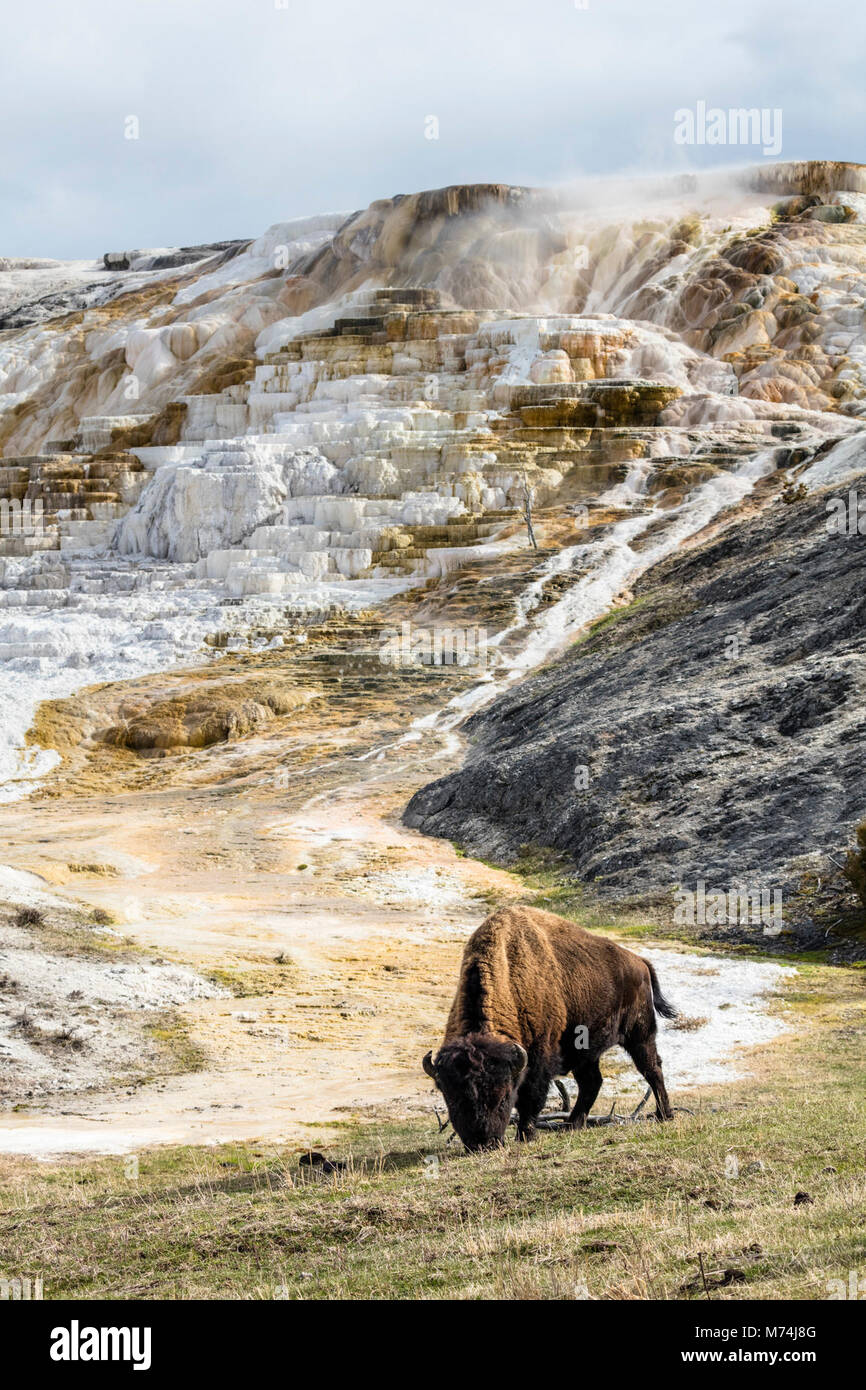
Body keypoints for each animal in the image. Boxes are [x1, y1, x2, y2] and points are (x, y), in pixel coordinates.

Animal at [423, 905, 676, 1150]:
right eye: (451, 1098)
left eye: (503, 1098)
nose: (483, 1144)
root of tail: (640, 962)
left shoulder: (539, 1058)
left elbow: (531, 1097)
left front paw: (526, 1136)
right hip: (586, 1050)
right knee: (592, 1082)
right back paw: (572, 1125)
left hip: (640, 1035)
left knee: (652, 1069)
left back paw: (664, 1115)